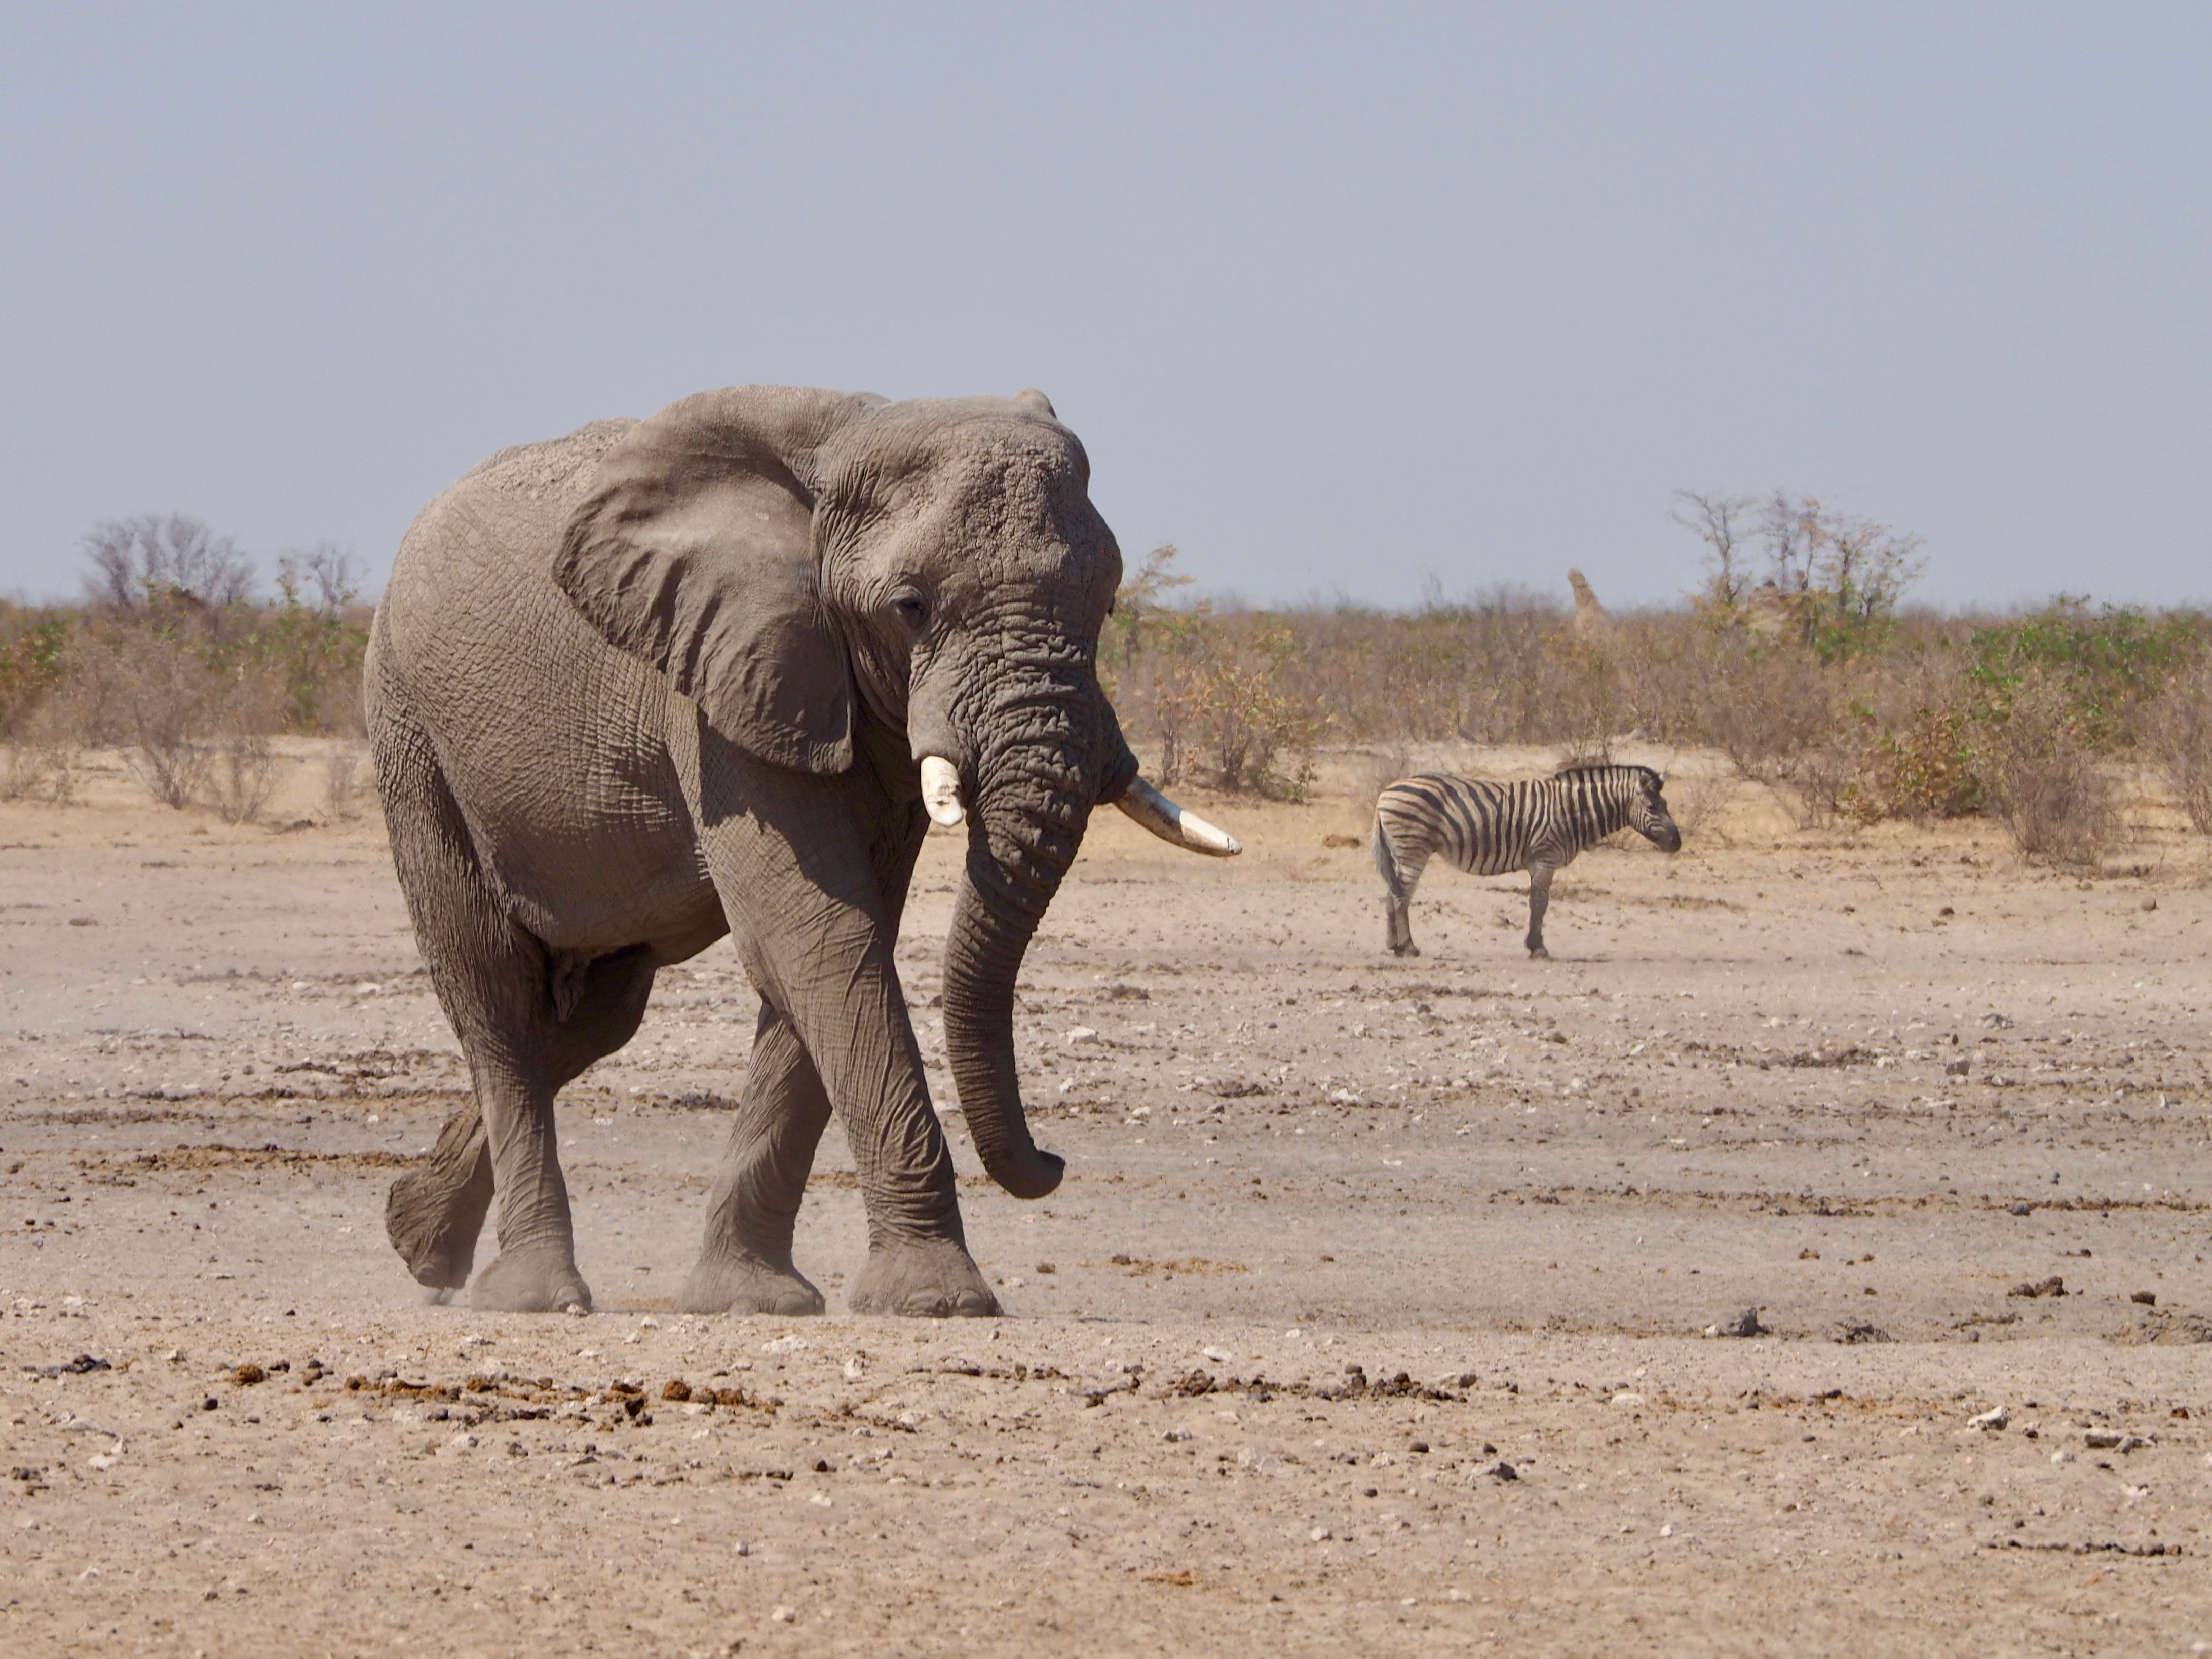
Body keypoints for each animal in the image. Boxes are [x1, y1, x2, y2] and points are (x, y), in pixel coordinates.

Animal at [367, 385, 1240, 1318]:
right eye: (910, 606)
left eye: (1107, 601)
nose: (1053, 1161)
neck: (850, 438)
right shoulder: (721, 679)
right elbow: (817, 934)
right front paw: (938, 1298)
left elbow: (836, 947)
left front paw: (750, 1298)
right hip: (410, 731)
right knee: (493, 994)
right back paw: (532, 1292)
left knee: (592, 1017)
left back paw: (420, 1242)